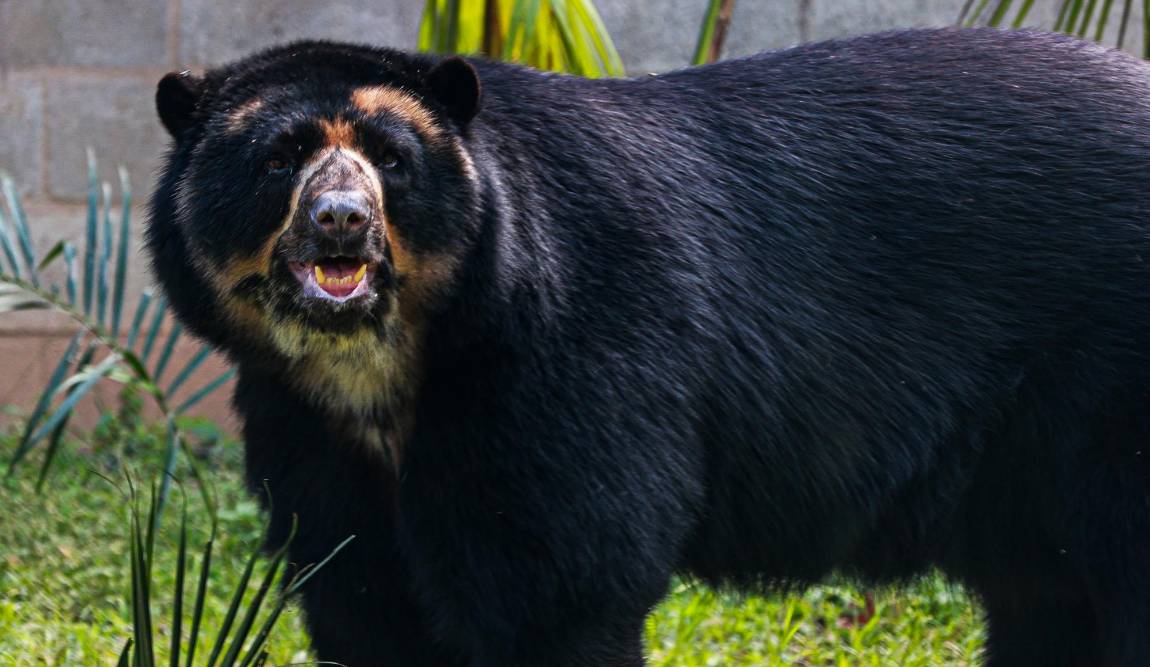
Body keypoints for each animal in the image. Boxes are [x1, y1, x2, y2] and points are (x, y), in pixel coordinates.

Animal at [147, 27, 1150, 666]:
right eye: (281, 156)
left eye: (393, 159)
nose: (342, 222)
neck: (389, 363)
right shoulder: (304, 424)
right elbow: (360, 592)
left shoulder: (571, 359)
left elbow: (561, 581)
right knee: (1046, 598)